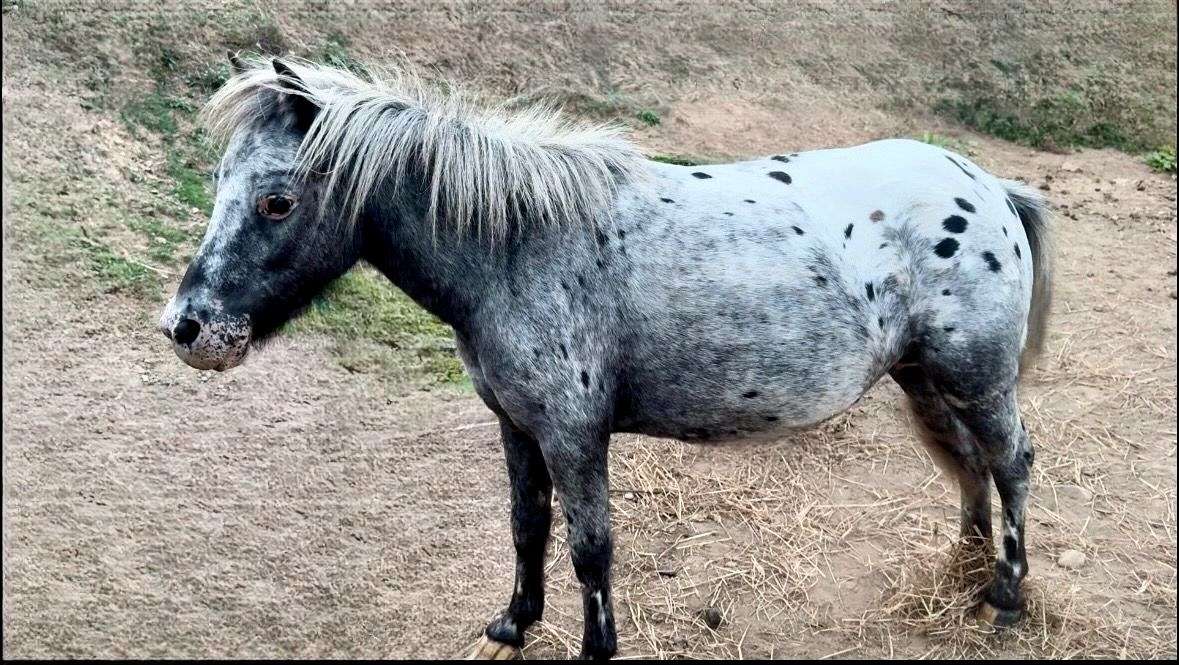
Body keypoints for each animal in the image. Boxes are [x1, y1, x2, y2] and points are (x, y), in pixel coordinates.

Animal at [160, 55, 1053, 660]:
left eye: (277, 200)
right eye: (221, 182)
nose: (189, 328)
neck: (516, 247)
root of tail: (988, 186)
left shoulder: (573, 433)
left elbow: (590, 547)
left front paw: (594, 644)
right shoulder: (517, 426)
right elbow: (526, 524)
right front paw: (511, 624)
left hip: (978, 380)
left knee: (1009, 460)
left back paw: (1004, 595)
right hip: (927, 380)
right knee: (967, 463)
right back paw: (965, 567)